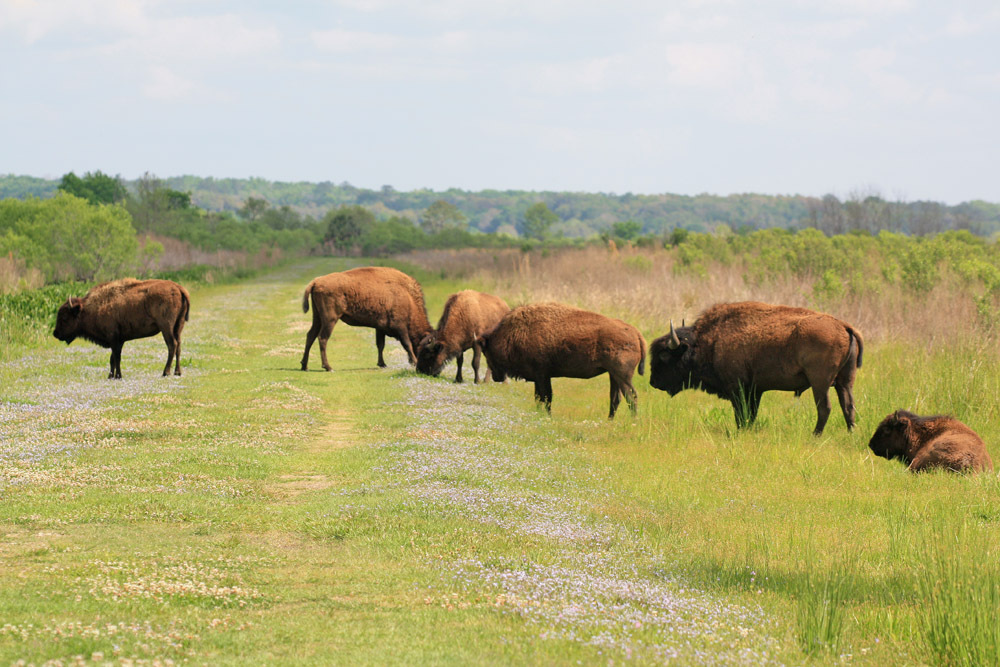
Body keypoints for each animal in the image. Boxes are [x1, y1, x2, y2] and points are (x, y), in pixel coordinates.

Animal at [649, 301, 863, 434]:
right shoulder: (755, 390)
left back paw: (815, 435)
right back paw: (850, 433)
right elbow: (751, 414)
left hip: (820, 382)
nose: (653, 382)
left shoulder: (738, 389)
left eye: (664, 355)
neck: (710, 341)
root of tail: (843, 325)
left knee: (825, 407)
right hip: (845, 382)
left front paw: (740, 430)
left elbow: (741, 413)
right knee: (848, 406)